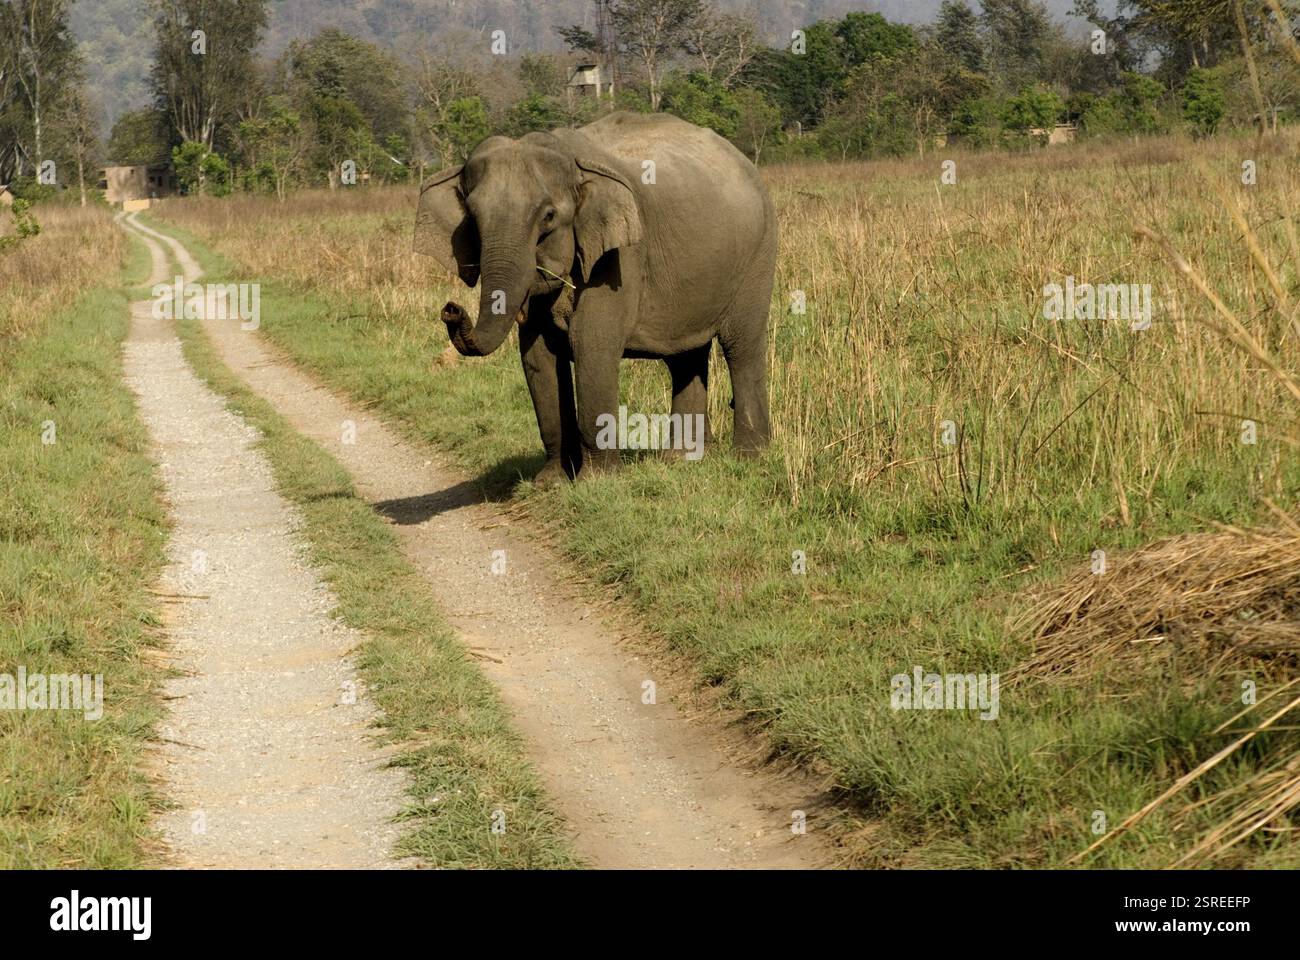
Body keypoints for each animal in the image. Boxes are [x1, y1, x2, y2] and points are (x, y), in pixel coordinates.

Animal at [414, 111, 776, 485]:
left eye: (548, 217)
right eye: (471, 219)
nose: (451, 309)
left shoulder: (620, 258)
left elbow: (592, 342)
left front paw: (597, 482)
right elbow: (538, 354)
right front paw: (550, 482)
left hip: (759, 253)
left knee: (741, 346)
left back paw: (749, 457)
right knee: (685, 358)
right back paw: (680, 460)